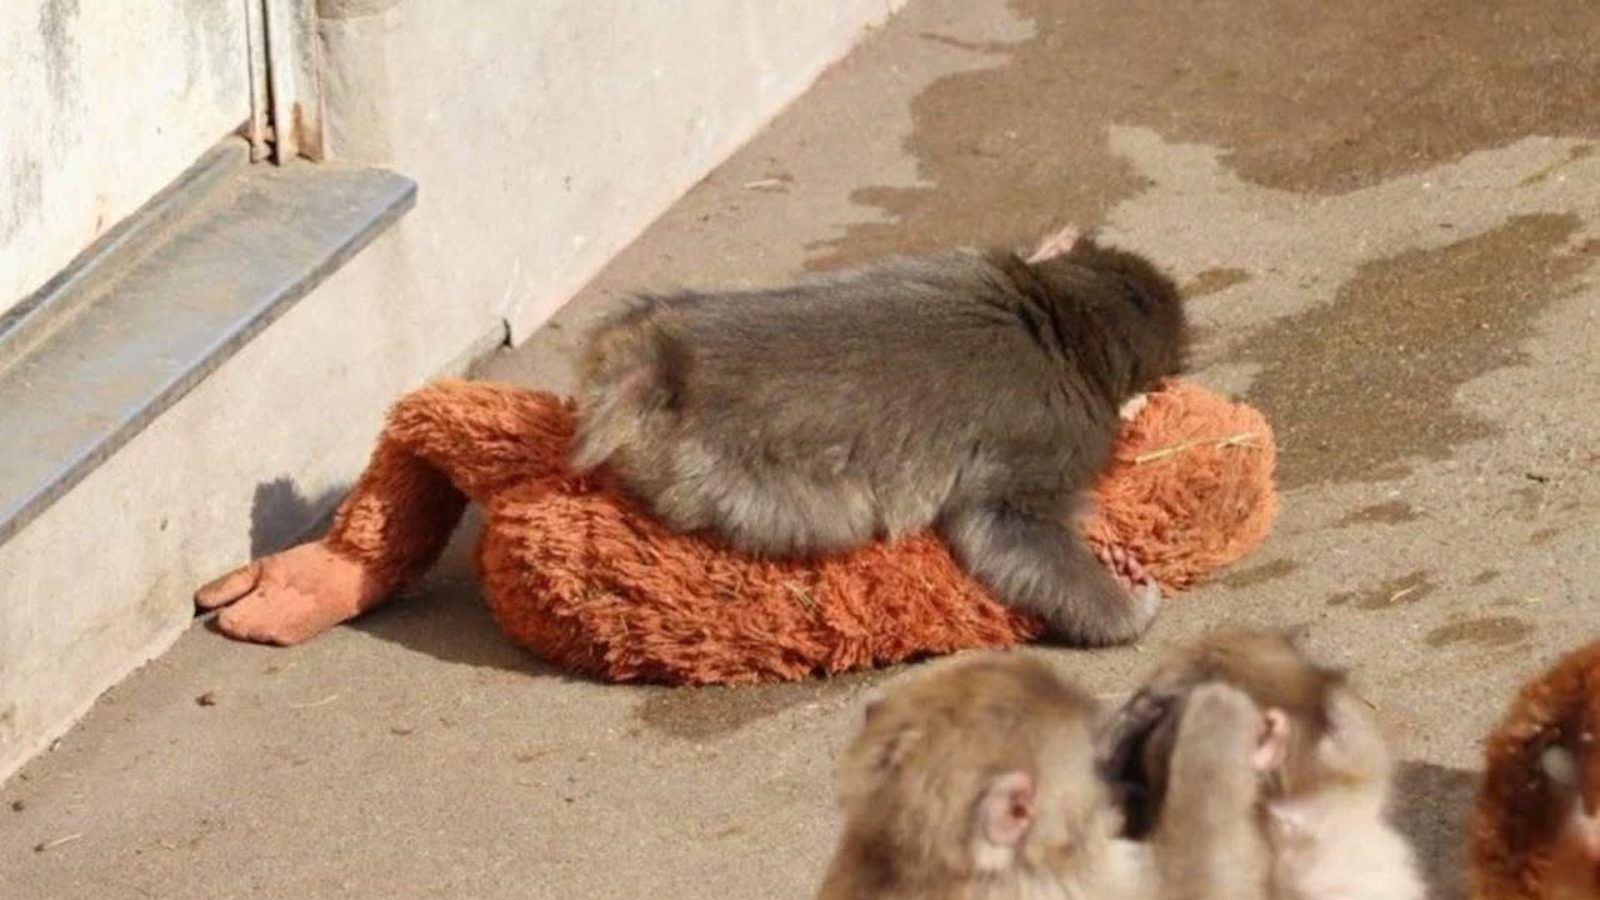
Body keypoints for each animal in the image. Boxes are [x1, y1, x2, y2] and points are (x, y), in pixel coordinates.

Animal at [570, 227, 1189, 646]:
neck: (1059, 317)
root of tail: (667, 362)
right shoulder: (1058, 435)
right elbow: (1007, 527)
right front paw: (1127, 605)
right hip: (725, 479)